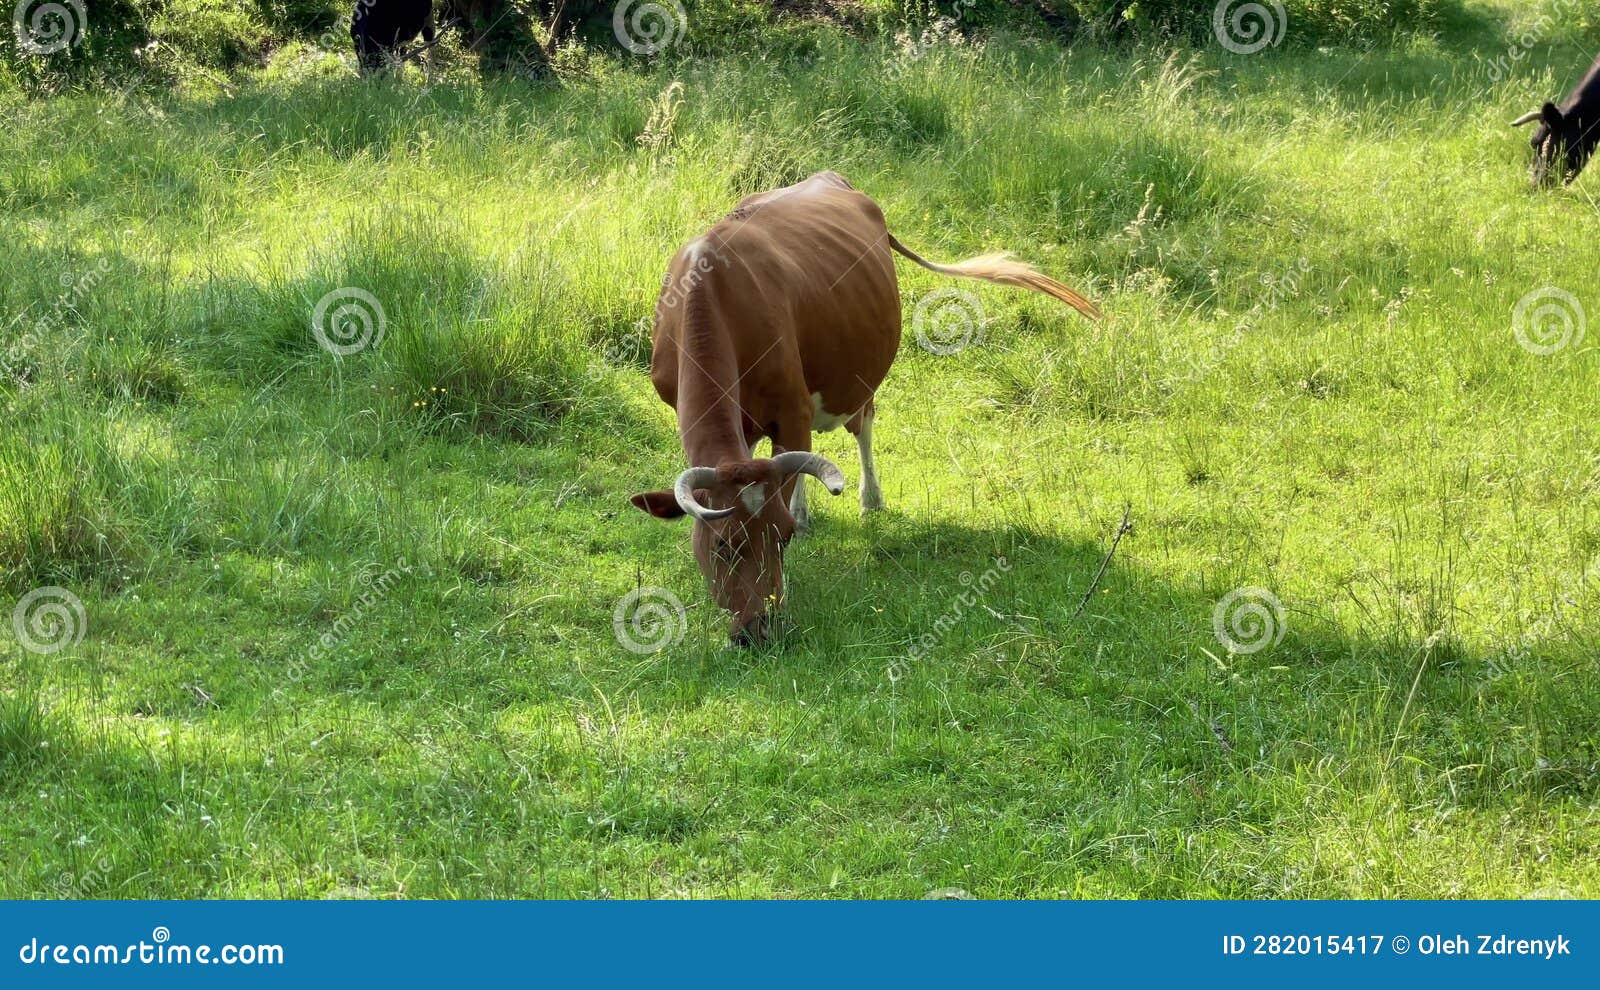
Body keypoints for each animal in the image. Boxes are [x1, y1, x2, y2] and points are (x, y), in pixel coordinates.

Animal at [630, 171, 1102, 646]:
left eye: (782, 540)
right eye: (723, 544)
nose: (763, 630)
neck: (714, 299)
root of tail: (832, 178)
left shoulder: (793, 411)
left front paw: (798, 535)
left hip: (863, 379)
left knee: (863, 427)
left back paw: (867, 499)